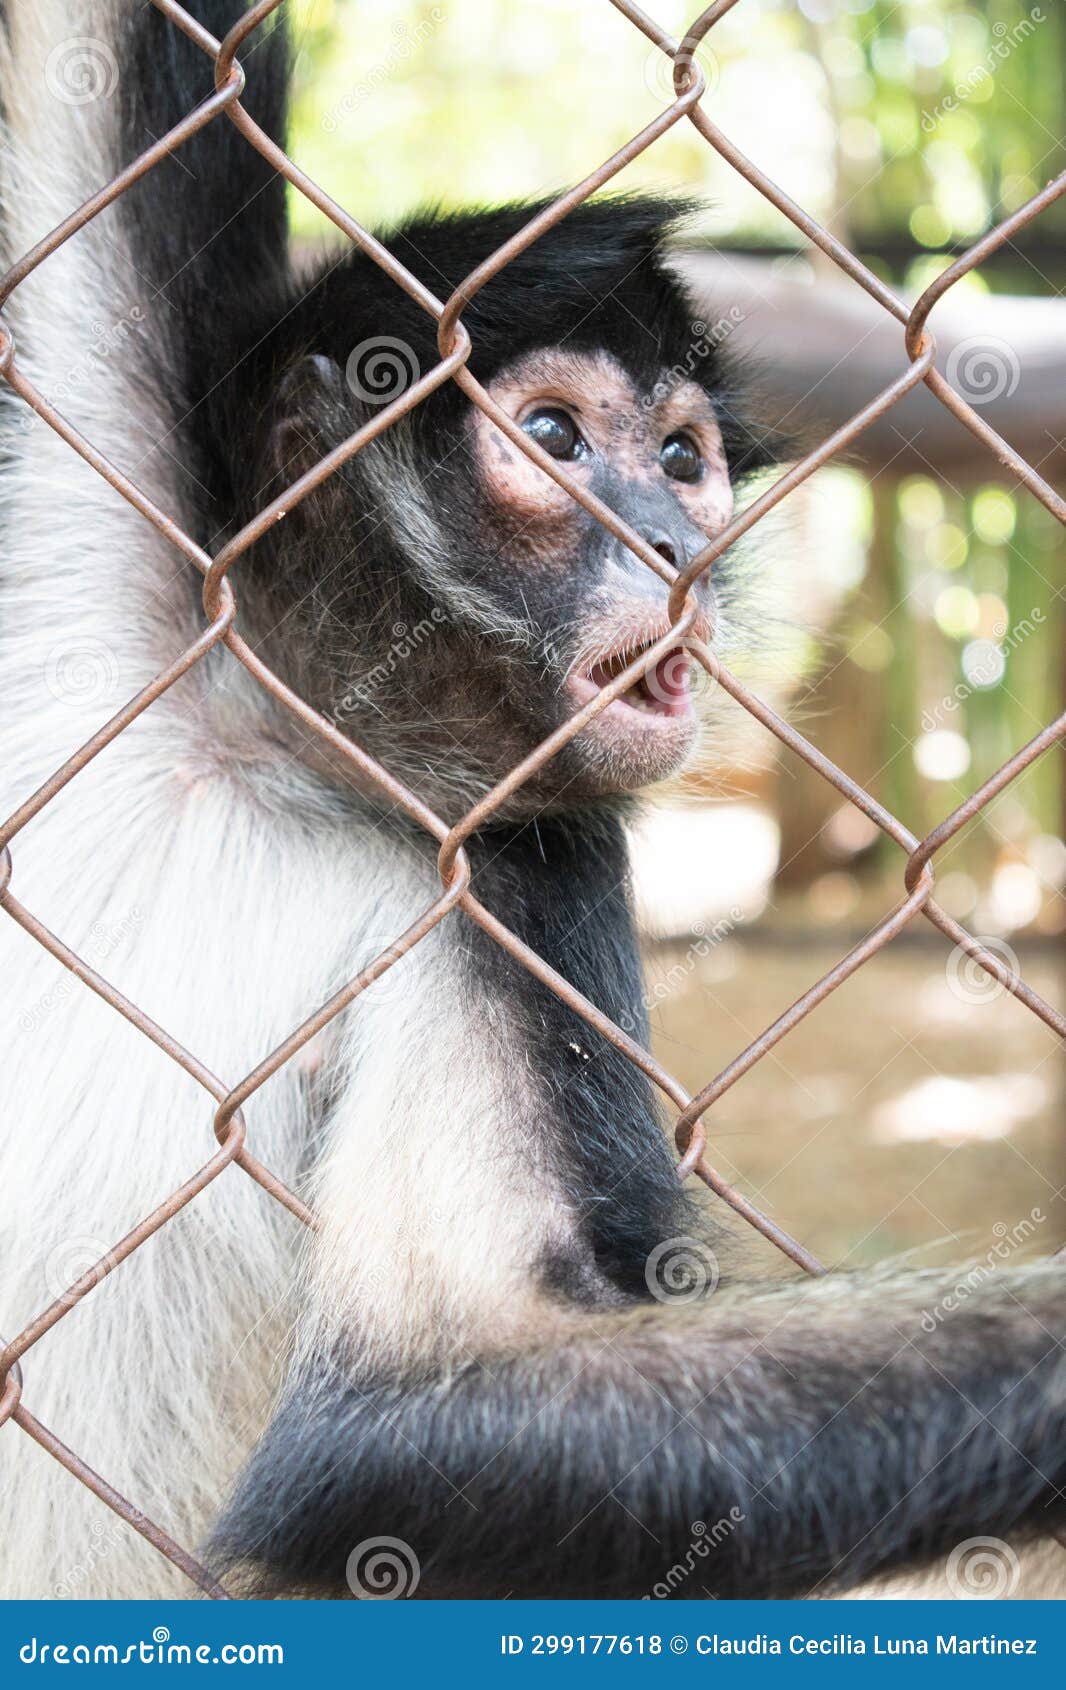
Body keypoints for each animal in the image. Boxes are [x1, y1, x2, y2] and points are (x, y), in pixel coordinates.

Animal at [0, 1, 1063, 1603]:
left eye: (682, 458)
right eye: (557, 440)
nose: (677, 540)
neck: (262, 741)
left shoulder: (521, 857)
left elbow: (417, 1391)